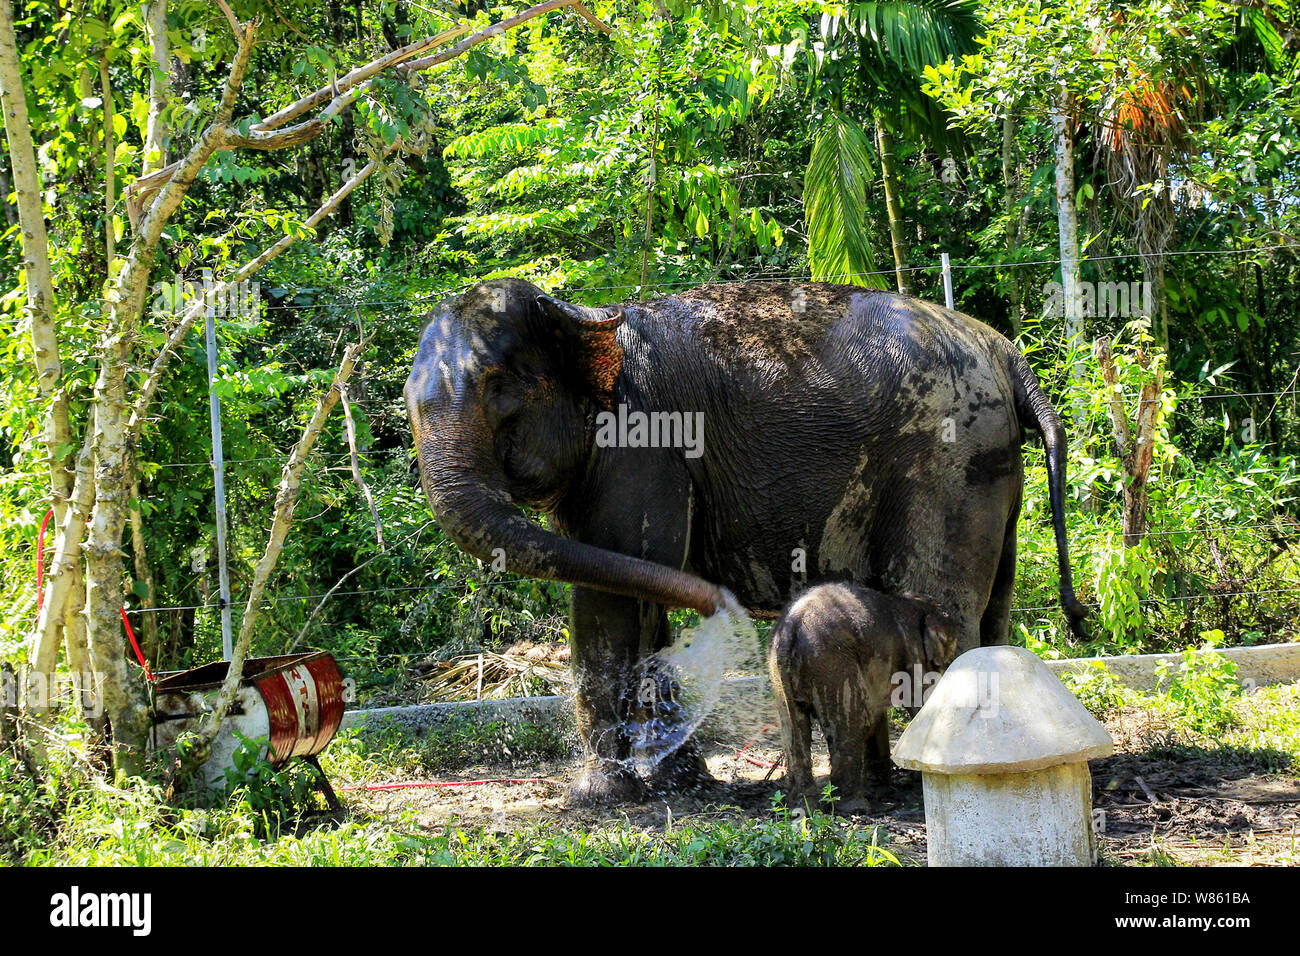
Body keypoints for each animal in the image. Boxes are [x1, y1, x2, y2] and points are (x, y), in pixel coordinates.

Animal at [767, 583, 957, 813]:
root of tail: (790, 629)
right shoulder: (911, 649)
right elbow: (918, 700)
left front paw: (880, 790)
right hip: (832, 664)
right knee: (851, 722)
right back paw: (854, 807)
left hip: (777, 671)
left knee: (793, 729)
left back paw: (803, 807)